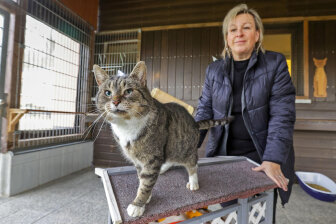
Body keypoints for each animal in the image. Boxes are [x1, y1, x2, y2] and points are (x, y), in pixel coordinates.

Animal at [93, 61, 232, 217]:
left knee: (192, 163)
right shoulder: (138, 161)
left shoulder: (152, 158)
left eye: (128, 91)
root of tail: (194, 122)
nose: (115, 101)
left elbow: (146, 183)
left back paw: (193, 181)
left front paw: (138, 204)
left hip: (185, 149)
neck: (127, 126)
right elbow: (141, 178)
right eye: (107, 93)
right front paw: (145, 197)